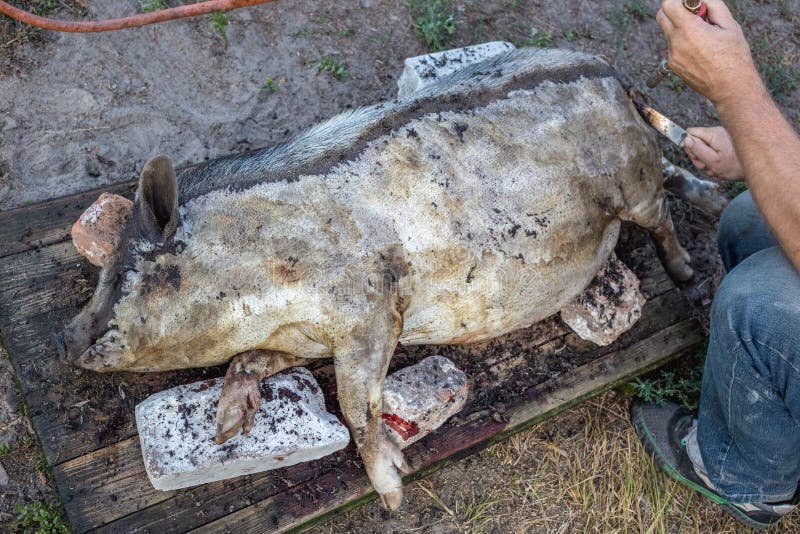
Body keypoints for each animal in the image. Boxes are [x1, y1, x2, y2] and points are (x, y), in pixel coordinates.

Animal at [60, 47, 692, 510]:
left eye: (122, 269)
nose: (64, 337)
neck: (267, 277)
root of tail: (609, 71)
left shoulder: (374, 312)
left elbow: (356, 405)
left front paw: (393, 498)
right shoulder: (304, 336)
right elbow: (247, 361)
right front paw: (225, 429)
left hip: (636, 182)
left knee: (664, 212)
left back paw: (684, 274)